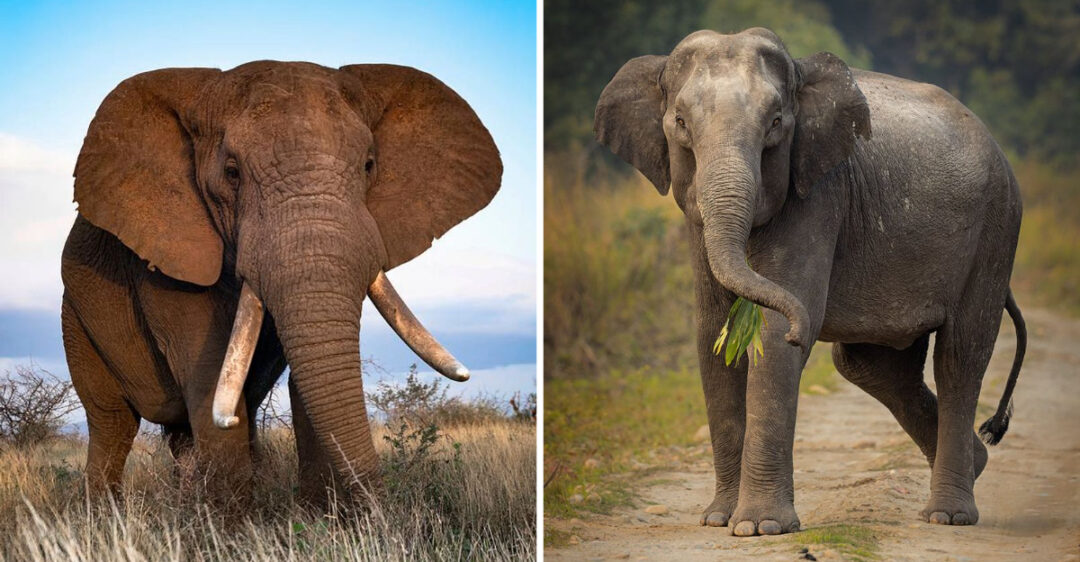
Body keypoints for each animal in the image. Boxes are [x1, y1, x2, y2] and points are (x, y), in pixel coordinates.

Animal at [60, 60, 501, 503]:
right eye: (232, 173)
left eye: (369, 166)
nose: (381, 512)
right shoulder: (168, 261)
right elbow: (210, 381)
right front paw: (228, 524)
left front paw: (321, 517)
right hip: (76, 320)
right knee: (113, 423)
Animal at [594, 28, 1026, 535]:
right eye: (680, 122)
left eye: (776, 123)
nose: (805, 333)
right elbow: (712, 338)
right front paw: (719, 519)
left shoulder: (819, 195)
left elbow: (772, 338)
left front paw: (759, 527)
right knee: (872, 366)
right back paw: (976, 463)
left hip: (997, 229)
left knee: (961, 355)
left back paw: (948, 515)